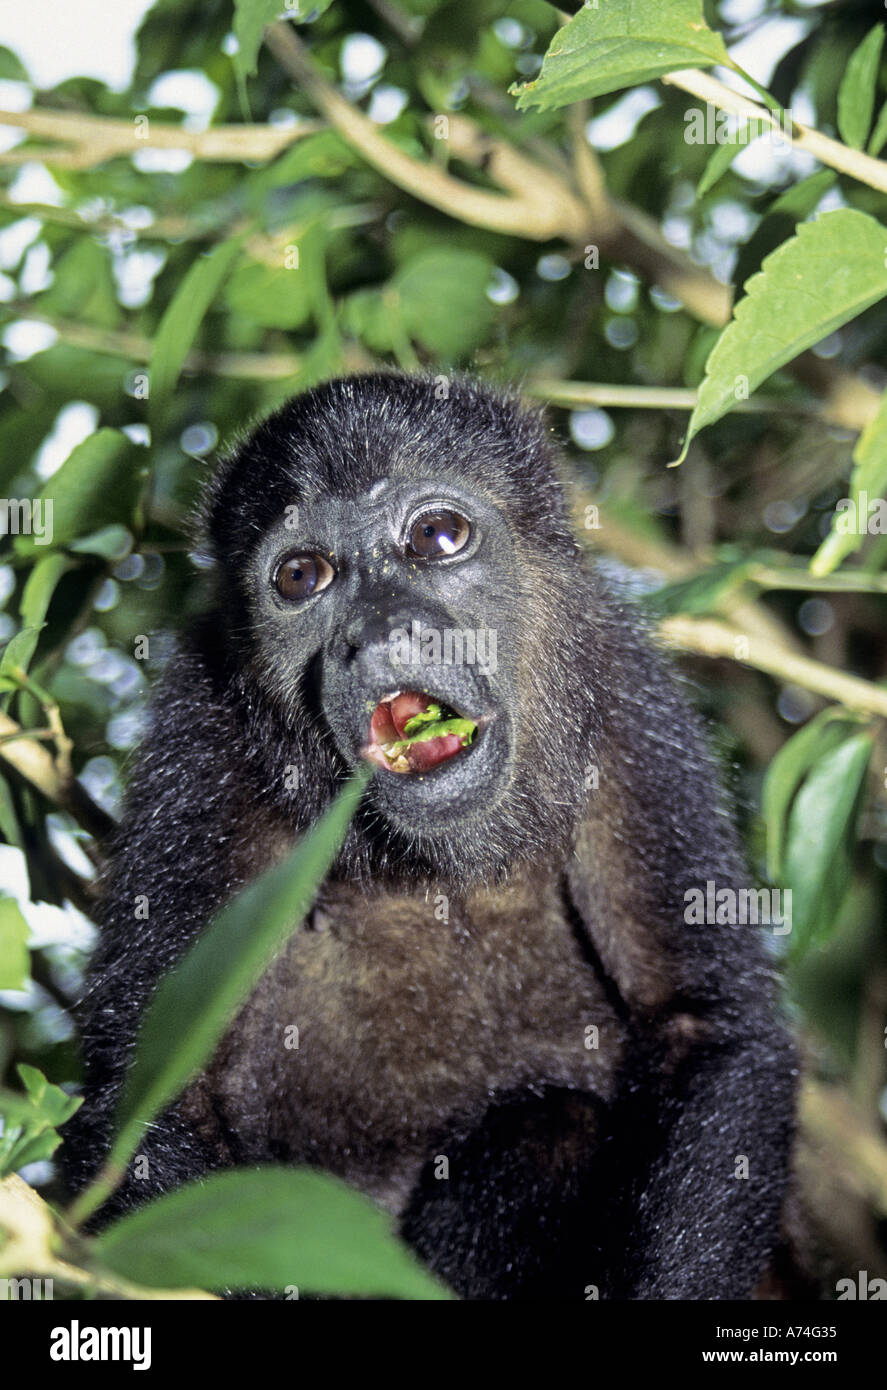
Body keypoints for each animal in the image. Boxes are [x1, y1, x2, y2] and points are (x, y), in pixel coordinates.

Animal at [63, 371, 797, 1300]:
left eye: (437, 537)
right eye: (302, 575)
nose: (379, 632)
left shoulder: (624, 693)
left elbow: (704, 1030)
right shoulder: (197, 751)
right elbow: (151, 1102)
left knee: (551, 1125)